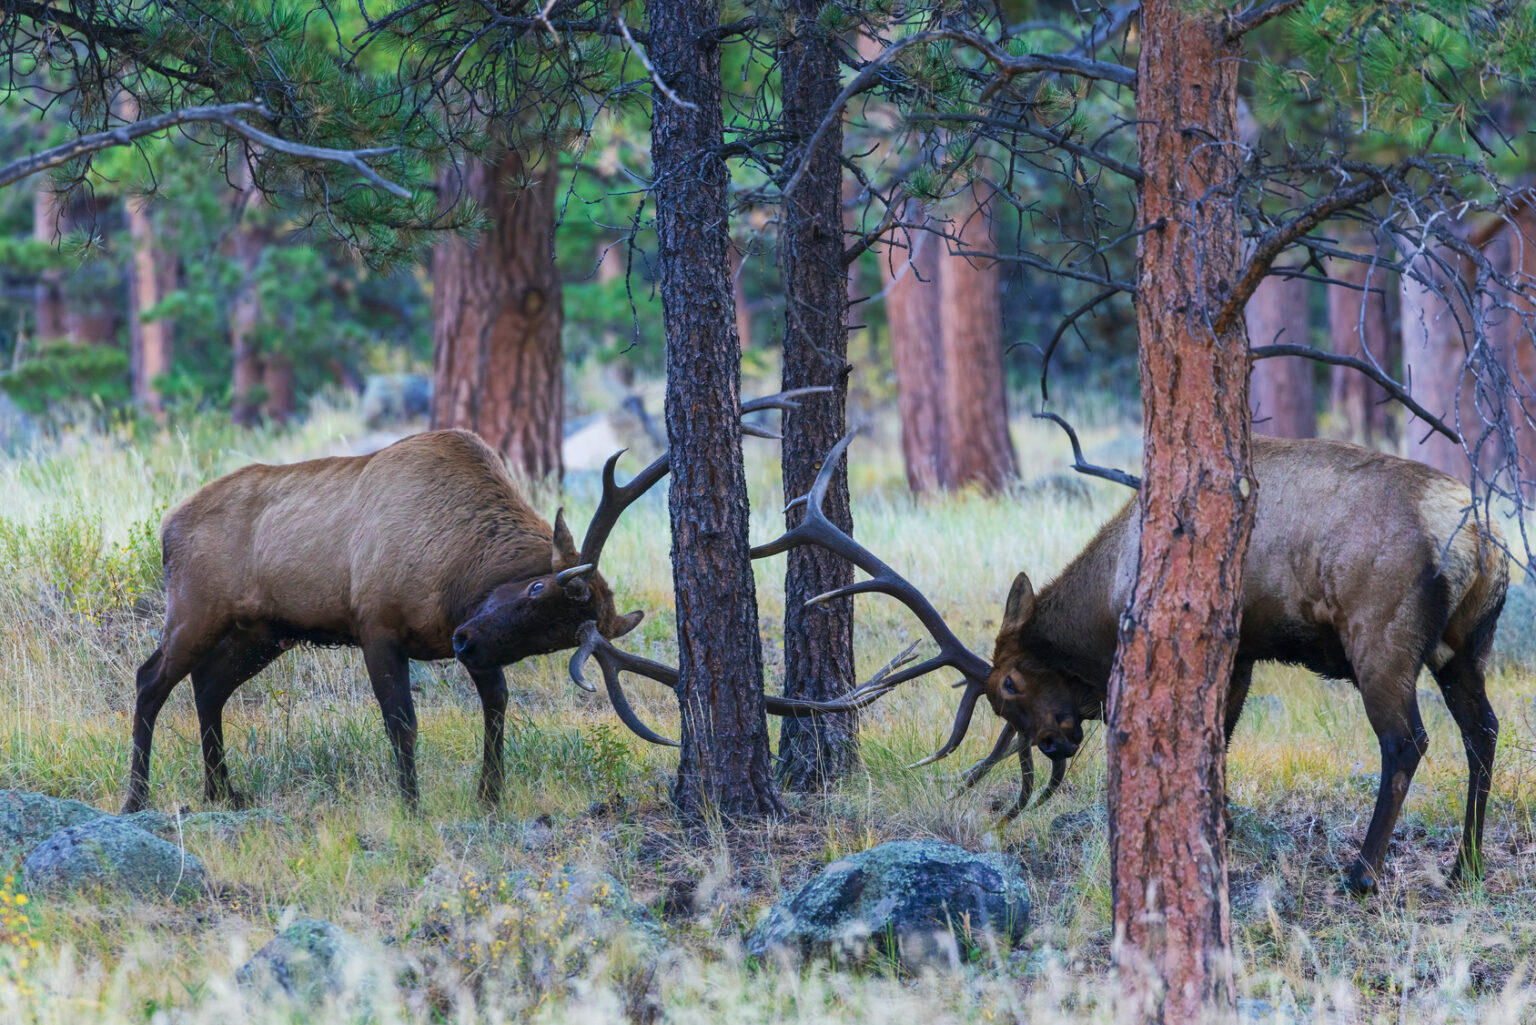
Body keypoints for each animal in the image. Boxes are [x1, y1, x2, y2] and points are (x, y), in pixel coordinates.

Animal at [123, 391, 820, 815]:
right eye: (539, 588)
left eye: (555, 640)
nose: (461, 641)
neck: (455, 574)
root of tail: (166, 526)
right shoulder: (375, 623)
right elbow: (402, 721)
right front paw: (411, 805)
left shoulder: (480, 644)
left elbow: (498, 706)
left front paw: (490, 794)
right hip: (196, 607)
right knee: (151, 677)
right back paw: (137, 797)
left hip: (263, 630)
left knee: (209, 685)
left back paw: (222, 791)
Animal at [579, 432, 1508, 896]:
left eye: (1009, 684)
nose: (1058, 741)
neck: (1108, 588)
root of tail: (1481, 538)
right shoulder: (1237, 644)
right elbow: (1218, 740)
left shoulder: (1214, 637)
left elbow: (1210, 737)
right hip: (1468, 645)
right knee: (1485, 731)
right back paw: (1463, 863)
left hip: (1382, 635)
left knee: (1407, 742)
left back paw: (1361, 871)